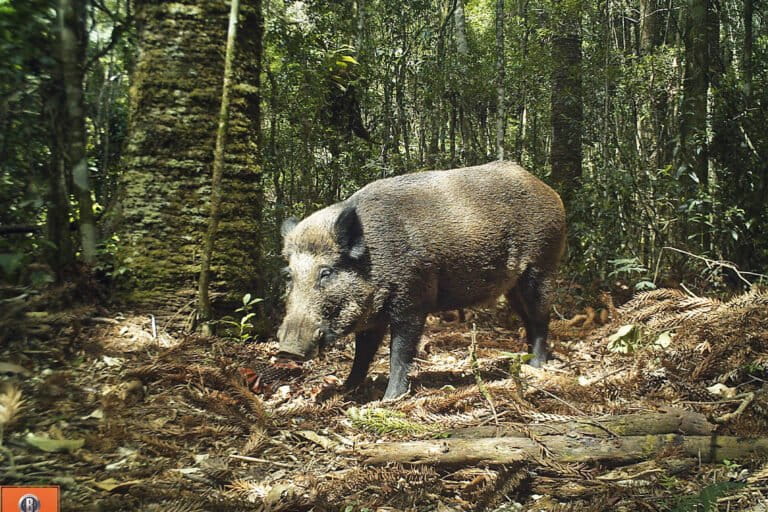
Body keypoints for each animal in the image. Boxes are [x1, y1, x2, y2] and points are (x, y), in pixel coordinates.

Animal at [277, 161, 566, 400]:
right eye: (289, 275)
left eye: (326, 272)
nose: (288, 350)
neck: (373, 258)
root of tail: (551, 192)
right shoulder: (373, 317)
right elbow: (362, 354)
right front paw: (345, 390)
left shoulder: (413, 301)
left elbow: (399, 353)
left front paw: (389, 399)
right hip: (513, 287)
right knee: (527, 319)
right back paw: (524, 360)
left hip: (542, 265)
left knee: (541, 318)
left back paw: (535, 366)